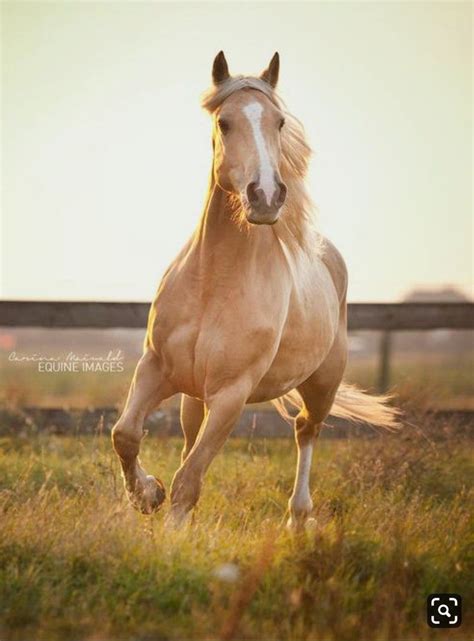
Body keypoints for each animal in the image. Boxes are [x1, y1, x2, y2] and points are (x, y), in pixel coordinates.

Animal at [111, 52, 399, 529]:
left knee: (306, 430)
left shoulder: (232, 394)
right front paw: (147, 495)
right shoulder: (155, 368)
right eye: (224, 122)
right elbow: (126, 434)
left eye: (279, 122)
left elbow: (189, 480)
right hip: (193, 394)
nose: (265, 196)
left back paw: (298, 519)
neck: (212, 283)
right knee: (189, 436)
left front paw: (171, 534)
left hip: (322, 383)